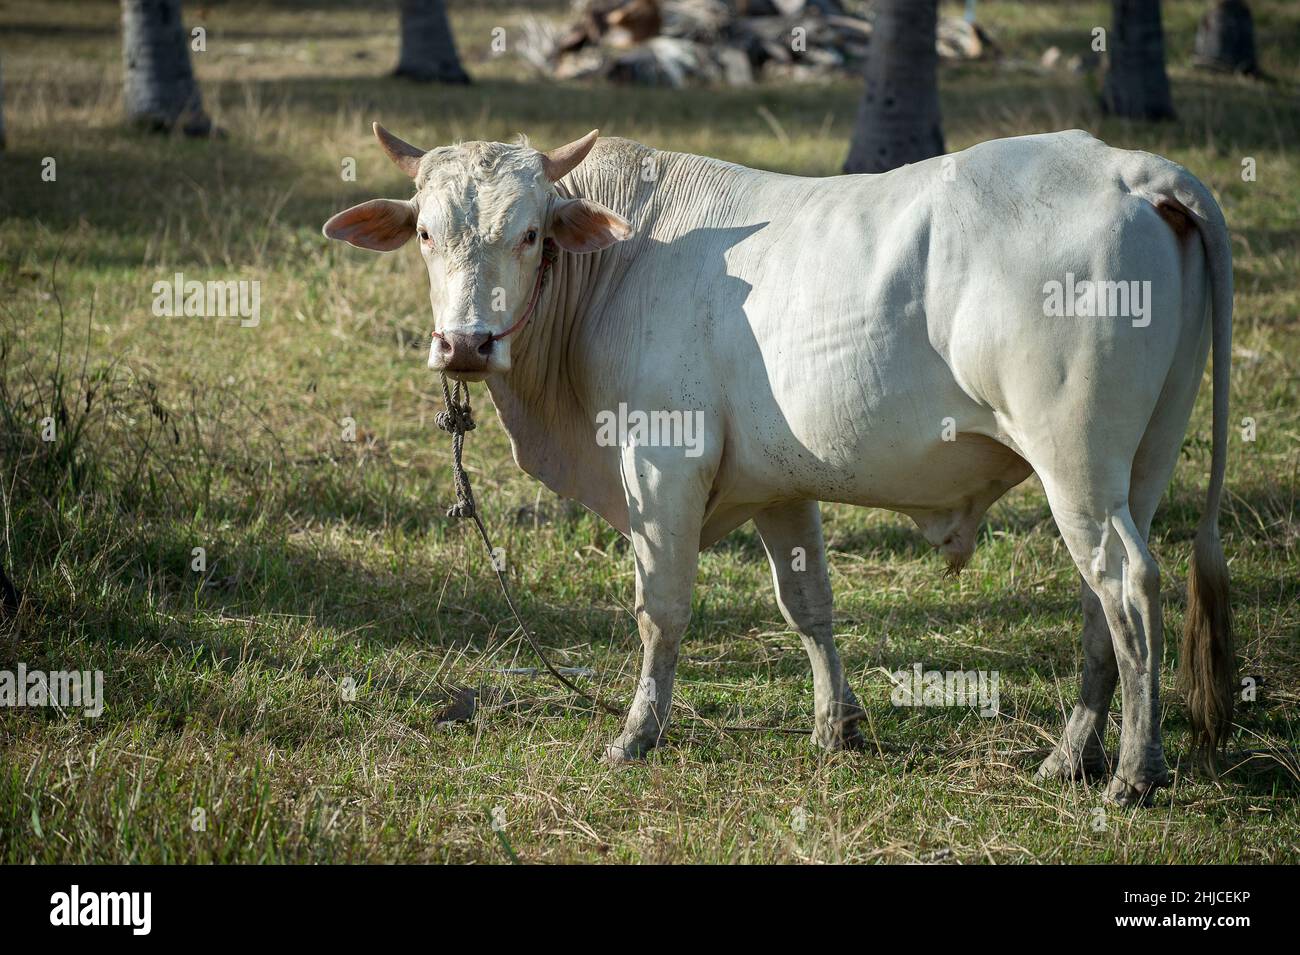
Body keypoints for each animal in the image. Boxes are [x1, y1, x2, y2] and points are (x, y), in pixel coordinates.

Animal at [324, 124, 1234, 805]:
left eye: (530, 234)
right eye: (427, 233)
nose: (465, 345)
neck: (619, 264)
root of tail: (1131, 170)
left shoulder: (660, 464)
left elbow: (661, 610)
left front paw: (635, 732)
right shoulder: (781, 486)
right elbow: (809, 605)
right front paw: (840, 726)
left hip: (1074, 461)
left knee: (1126, 584)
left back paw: (1133, 771)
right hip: (1140, 463)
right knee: (1104, 601)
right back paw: (1071, 754)